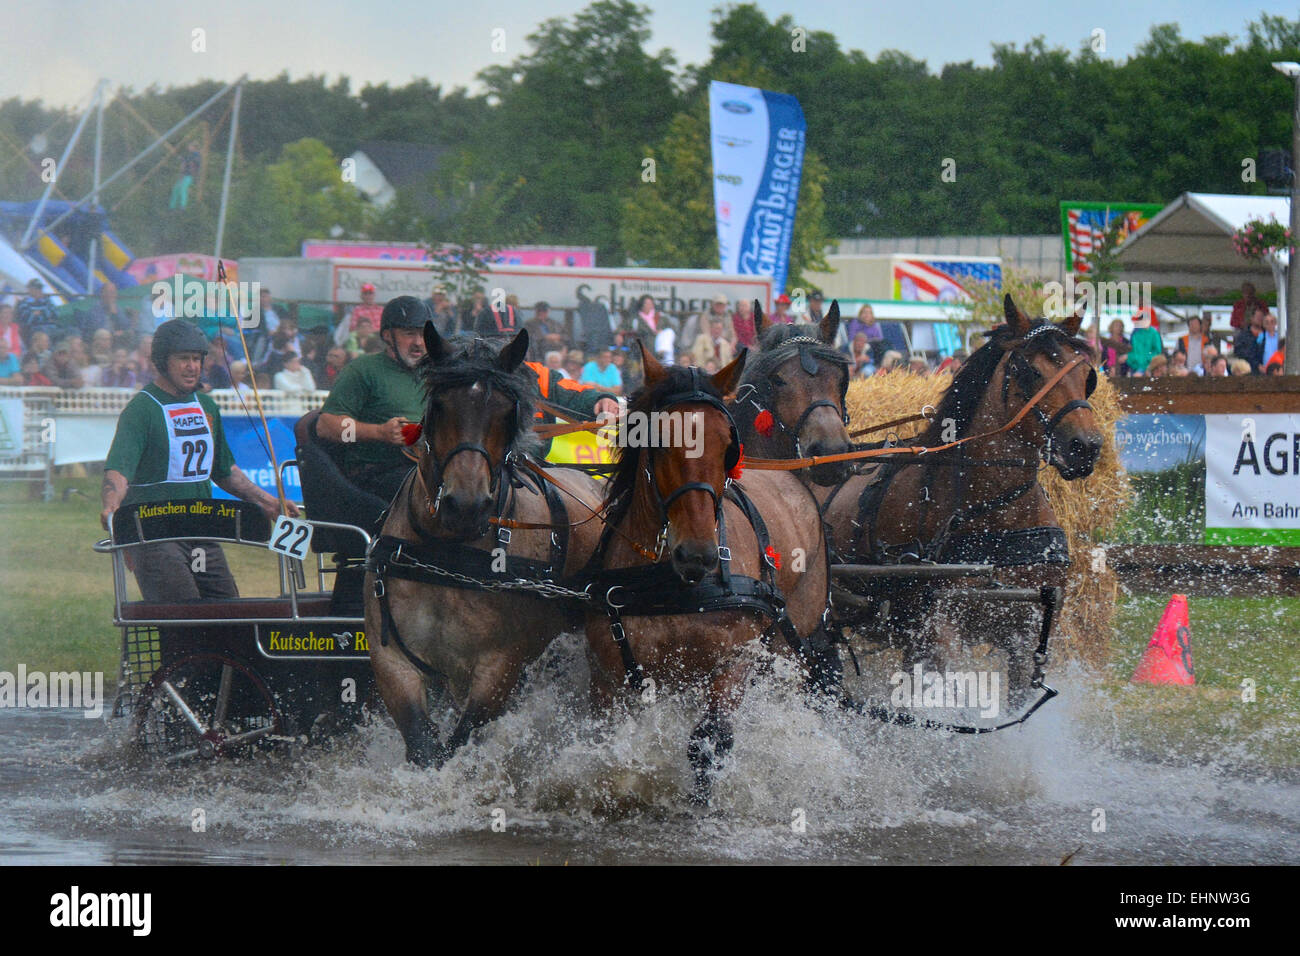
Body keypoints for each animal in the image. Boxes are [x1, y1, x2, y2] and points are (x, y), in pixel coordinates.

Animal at [364, 325, 605, 764]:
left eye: (507, 412)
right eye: (439, 406)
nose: (466, 505)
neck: (445, 553)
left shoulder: (499, 669)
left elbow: (460, 741)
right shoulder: (391, 661)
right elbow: (423, 744)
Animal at [582, 343, 826, 806]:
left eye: (728, 445)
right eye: (660, 441)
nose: (697, 554)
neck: (673, 586)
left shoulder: (733, 661)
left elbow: (708, 741)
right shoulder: (609, 678)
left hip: (791, 642)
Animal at [816, 295, 1102, 707]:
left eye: (1088, 376)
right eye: (1032, 372)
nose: (1085, 447)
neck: (996, 513)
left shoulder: (1025, 632)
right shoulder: (939, 629)